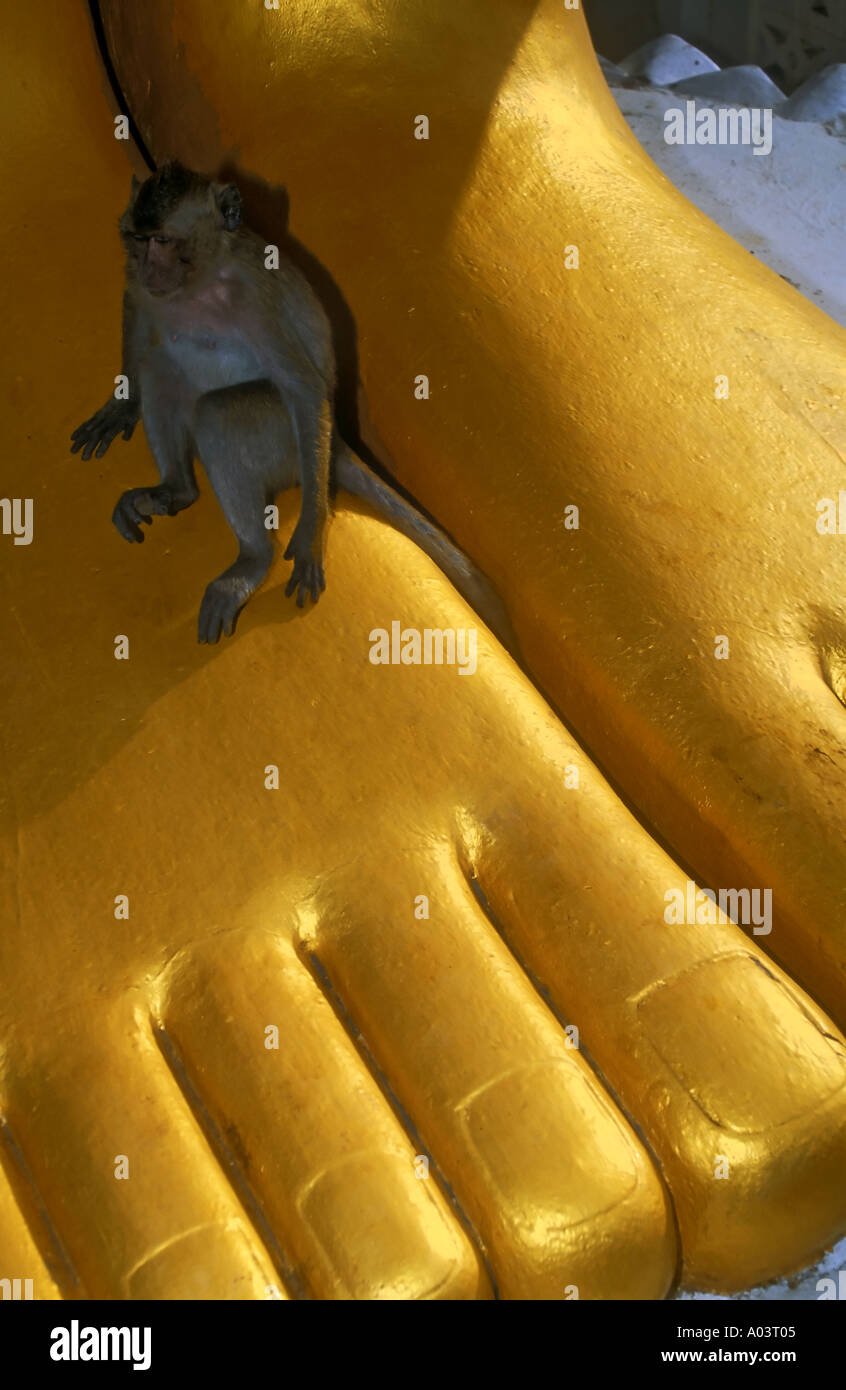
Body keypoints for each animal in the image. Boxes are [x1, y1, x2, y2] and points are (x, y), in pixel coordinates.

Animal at [70, 161, 513, 648]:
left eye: (163, 242)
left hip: (287, 441)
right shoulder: (140, 285)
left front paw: (310, 532)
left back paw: (252, 558)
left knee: (218, 414)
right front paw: (121, 405)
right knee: (160, 368)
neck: (200, 281)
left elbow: (302, 387)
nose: (150, 269)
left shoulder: (254, 300)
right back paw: (176, 489)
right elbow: (135, 313)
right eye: (137, 238)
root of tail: (338, 443)